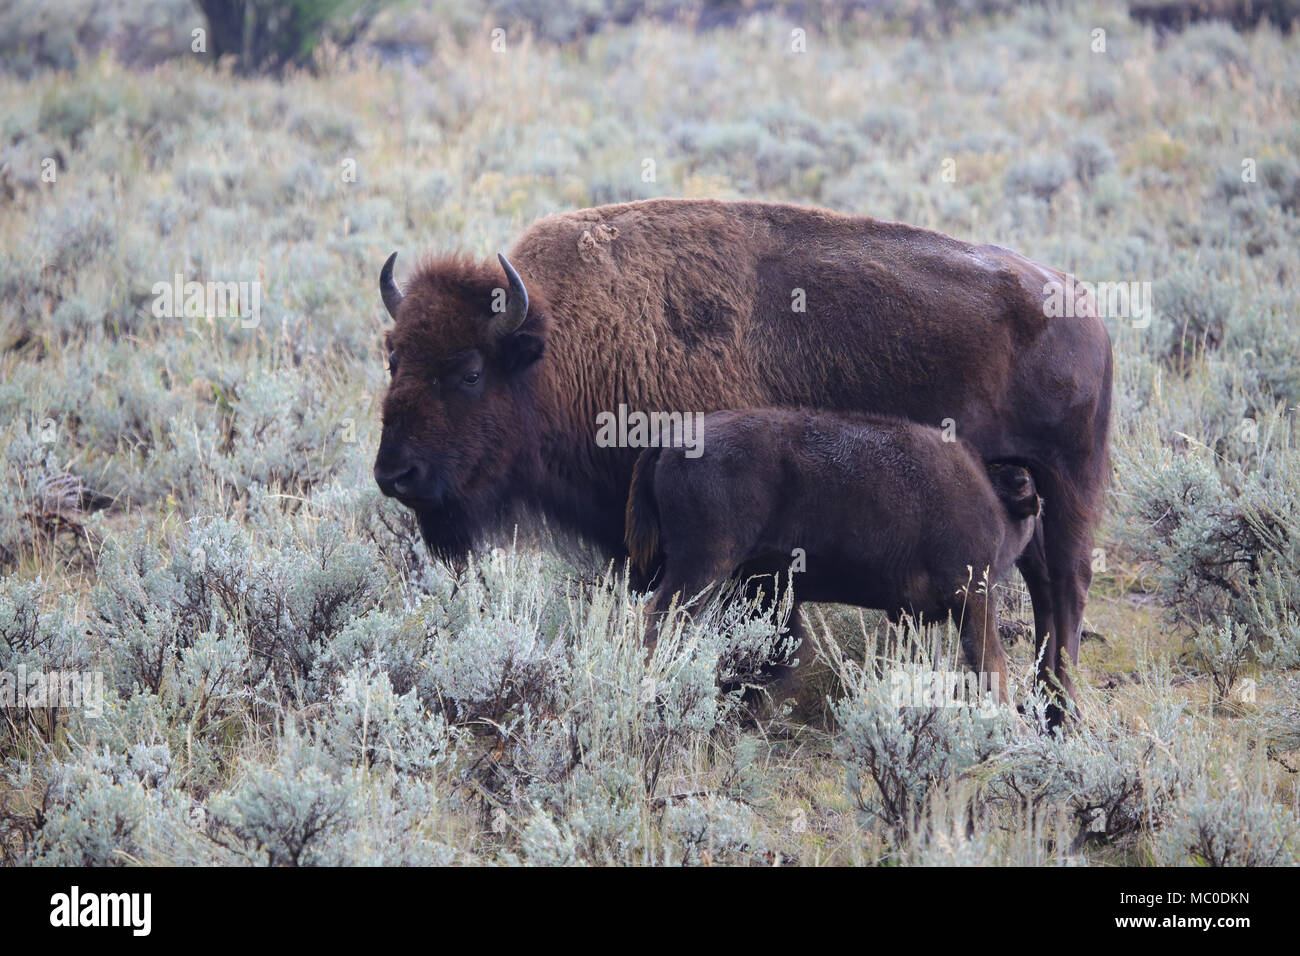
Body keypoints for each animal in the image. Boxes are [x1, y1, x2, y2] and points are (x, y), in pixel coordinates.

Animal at [373, 198, 1112, 722]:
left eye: (469, 372)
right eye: (394, 358)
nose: (394, 475)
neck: (558, 347)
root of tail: (1085, 307)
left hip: (1070, 488)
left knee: (1065, 591)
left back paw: (1062, 713)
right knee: (1046, 589)